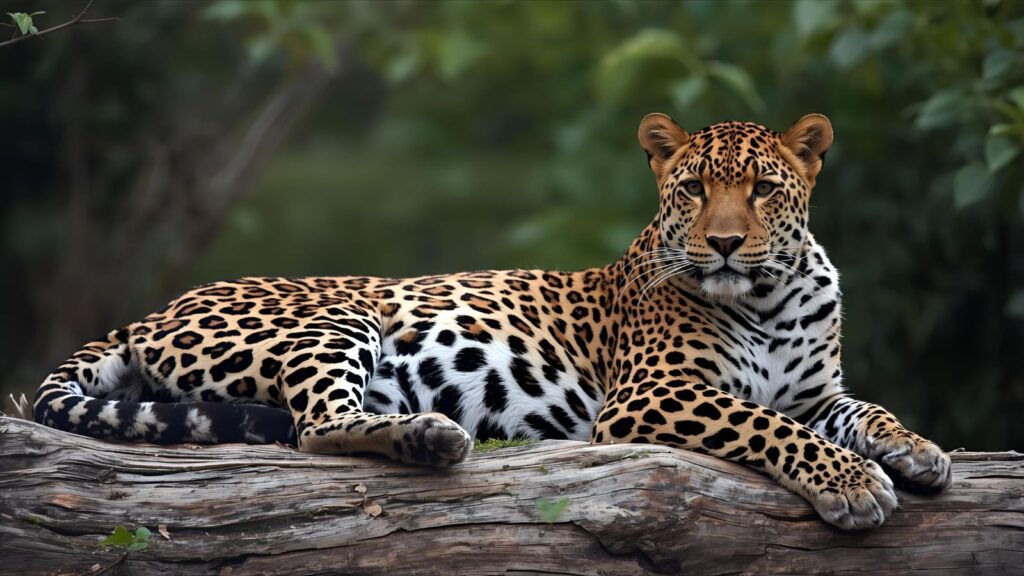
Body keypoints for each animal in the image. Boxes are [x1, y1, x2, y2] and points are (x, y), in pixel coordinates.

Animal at [32, 112, 952, 530]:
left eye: (762, 189)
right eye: (693, 189)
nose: (724, 243)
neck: (765, 297)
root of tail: (154, 310)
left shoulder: (813, 392)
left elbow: (861, 411)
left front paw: (917, 451)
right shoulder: (653, 397)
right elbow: (769, 428)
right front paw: (851, 484)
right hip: (338, 317)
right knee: (314, 428)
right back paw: (430, 435)